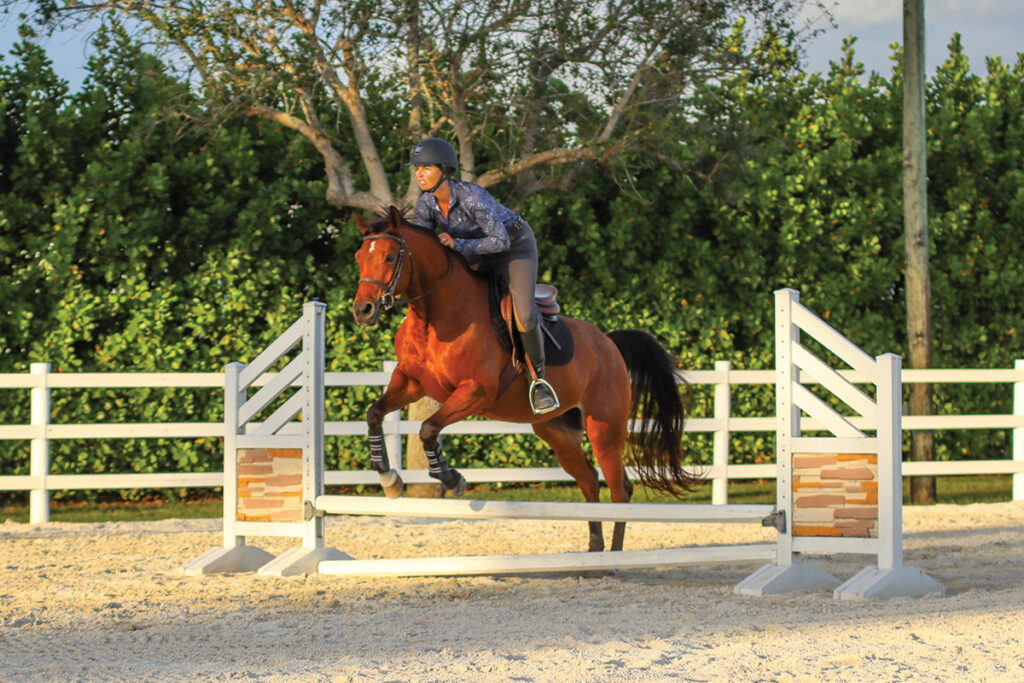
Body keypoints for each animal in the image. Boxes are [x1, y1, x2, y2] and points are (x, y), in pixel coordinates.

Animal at [351, 206, 698, 552]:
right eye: (358, 257)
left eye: (389, 257)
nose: (362, 311)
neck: (438, 315)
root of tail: (609, 343)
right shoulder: (411, 383)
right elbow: (375, 414)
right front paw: (388, 478)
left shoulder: (475, 392)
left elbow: (428, 428)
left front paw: (453, 479)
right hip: (557, 432)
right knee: (588, 480)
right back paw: (594, 552)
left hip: (605, 429)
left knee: (620, 489)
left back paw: (612, 555)